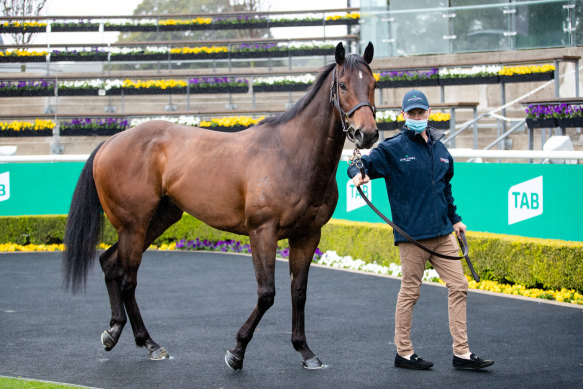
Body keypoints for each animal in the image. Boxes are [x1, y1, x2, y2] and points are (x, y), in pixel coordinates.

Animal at [64, 42, 378, 370]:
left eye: (373, 84)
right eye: (343, 85)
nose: (366, 133)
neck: (291, 154)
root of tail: (110, 142)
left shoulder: (307, 235)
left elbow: (299, 292)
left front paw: (305, 350)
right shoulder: (262, 232)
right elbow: (267, 294)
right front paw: (237, 351)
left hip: (157, 220)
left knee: (110, 264)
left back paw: (114, 332)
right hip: (133, 226)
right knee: (127, 279)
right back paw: (150, 344)